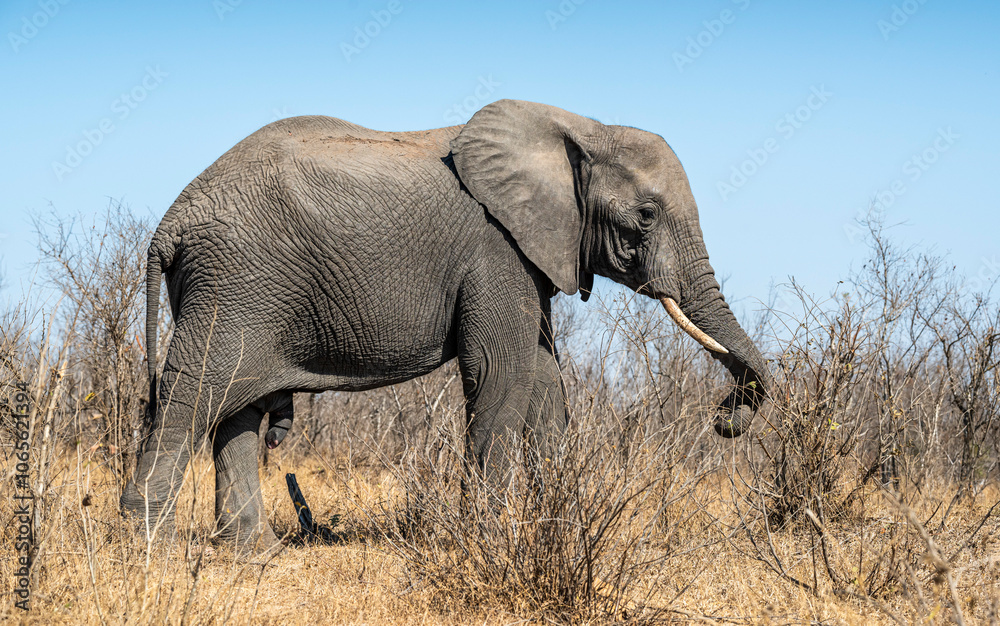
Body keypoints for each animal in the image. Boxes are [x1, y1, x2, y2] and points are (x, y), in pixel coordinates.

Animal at [120, 99, 770, 551]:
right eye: (647, 215)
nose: (725, 417)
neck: (581, 126)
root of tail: (169, 225)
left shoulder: (528, 253)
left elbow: (544, 378)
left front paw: (559, 526)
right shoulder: (497, 247)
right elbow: (502, 373)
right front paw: (489, 541)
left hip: (241, 290)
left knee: (237, 410)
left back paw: (253, 552)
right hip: (234, 283)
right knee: (191, 396)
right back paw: (151, 545)